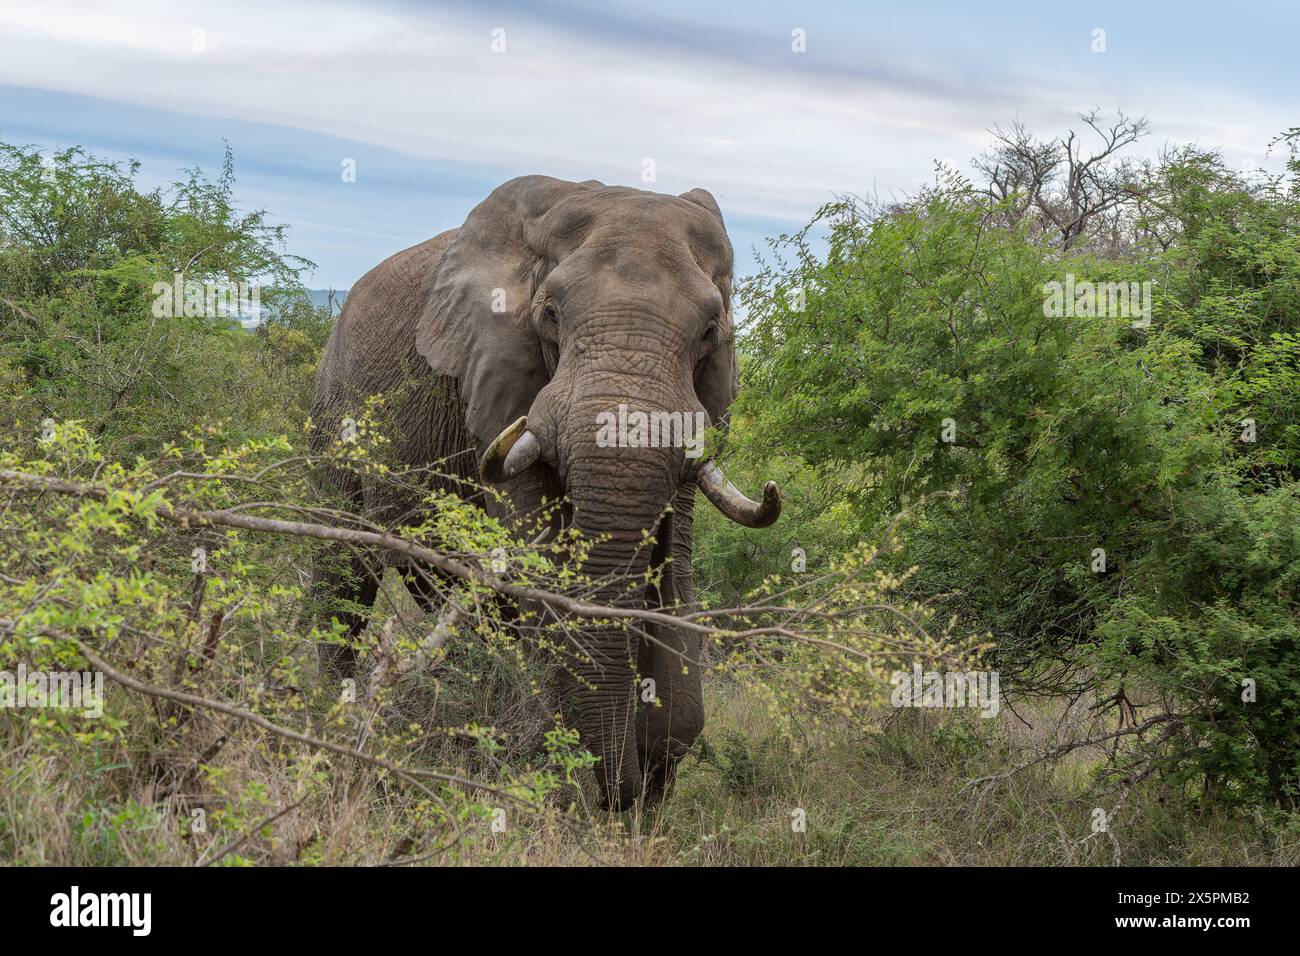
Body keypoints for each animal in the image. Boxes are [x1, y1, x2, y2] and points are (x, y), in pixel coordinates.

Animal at [307, 175, 780, 810]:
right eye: (550, 315)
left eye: (711, 332)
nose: (624, 795)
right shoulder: (498, 385)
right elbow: (541, 560)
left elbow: (674, 573)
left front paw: (648, 780)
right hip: (334, 406)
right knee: (345, 569)